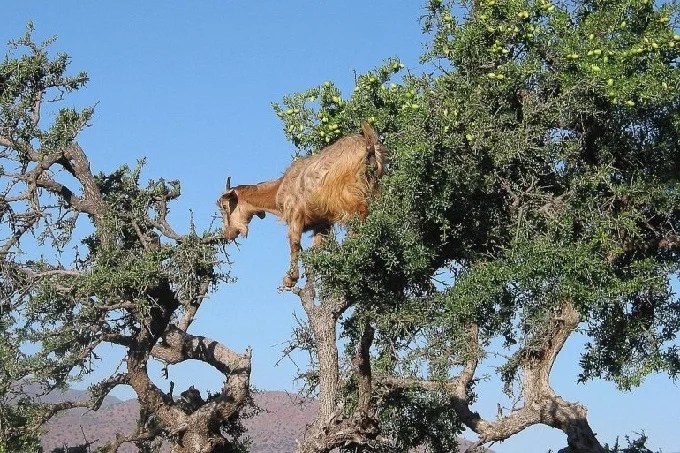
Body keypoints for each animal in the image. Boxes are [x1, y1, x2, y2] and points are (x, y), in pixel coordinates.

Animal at [217, 122, 387, 288]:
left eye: (225, 207)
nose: (228, 234)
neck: (278, 189)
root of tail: (369, 145)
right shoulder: (322, 222)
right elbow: (316, 246)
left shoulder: (296, 214)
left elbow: (294, 243)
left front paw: (290, 278)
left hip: (349, 195)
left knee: (361, 212)